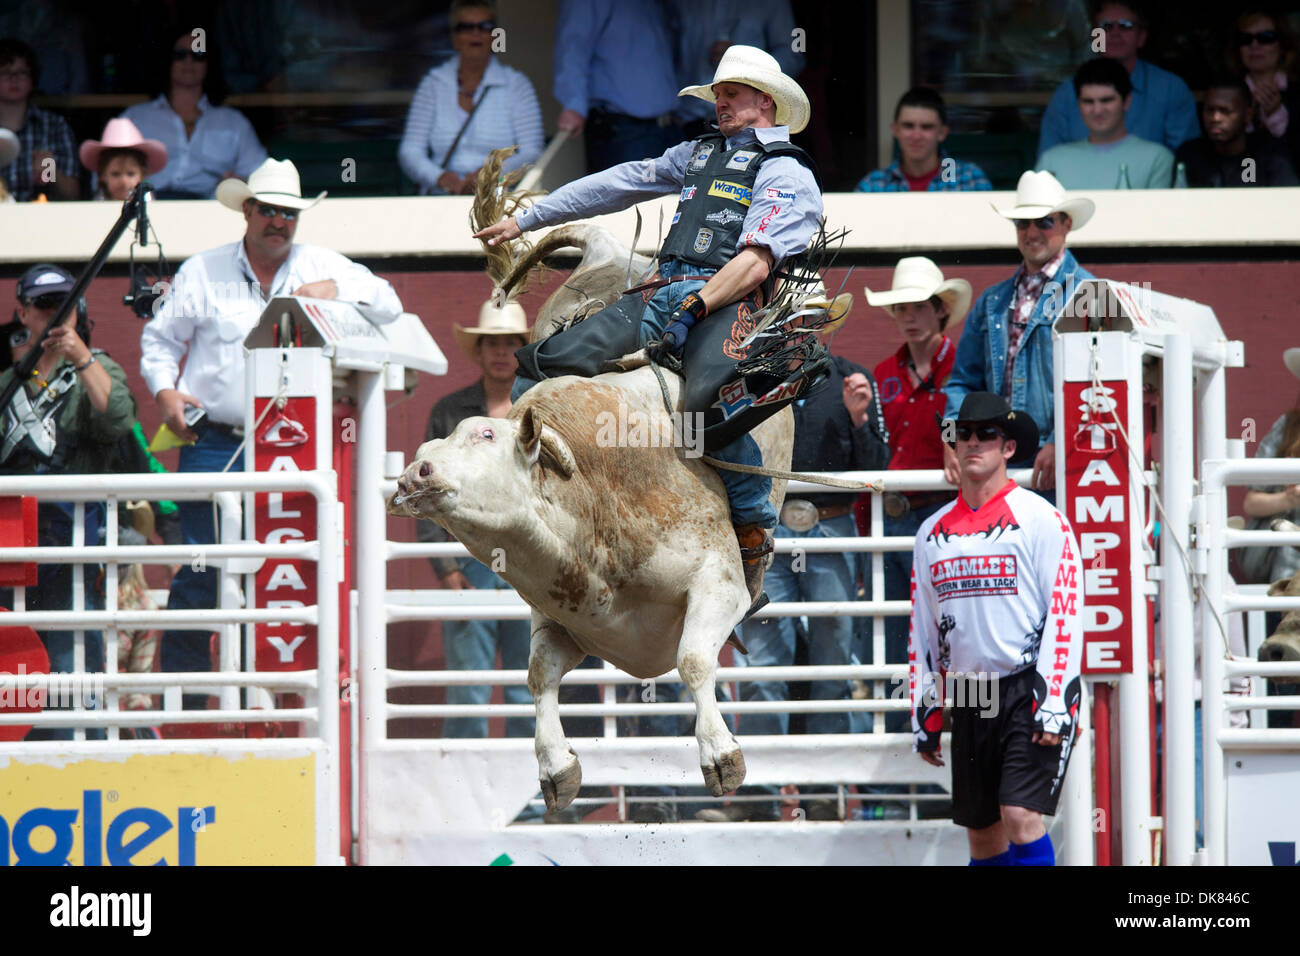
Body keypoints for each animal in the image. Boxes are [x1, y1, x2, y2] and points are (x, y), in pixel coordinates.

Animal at [389, 222, 803, 812]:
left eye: (486, 434)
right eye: (428, 445)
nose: (413, 476)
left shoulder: (720, 584)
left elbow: (693, 660)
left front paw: (720, 756)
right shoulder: (564, 620)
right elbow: (539, 675)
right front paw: (556, 767)